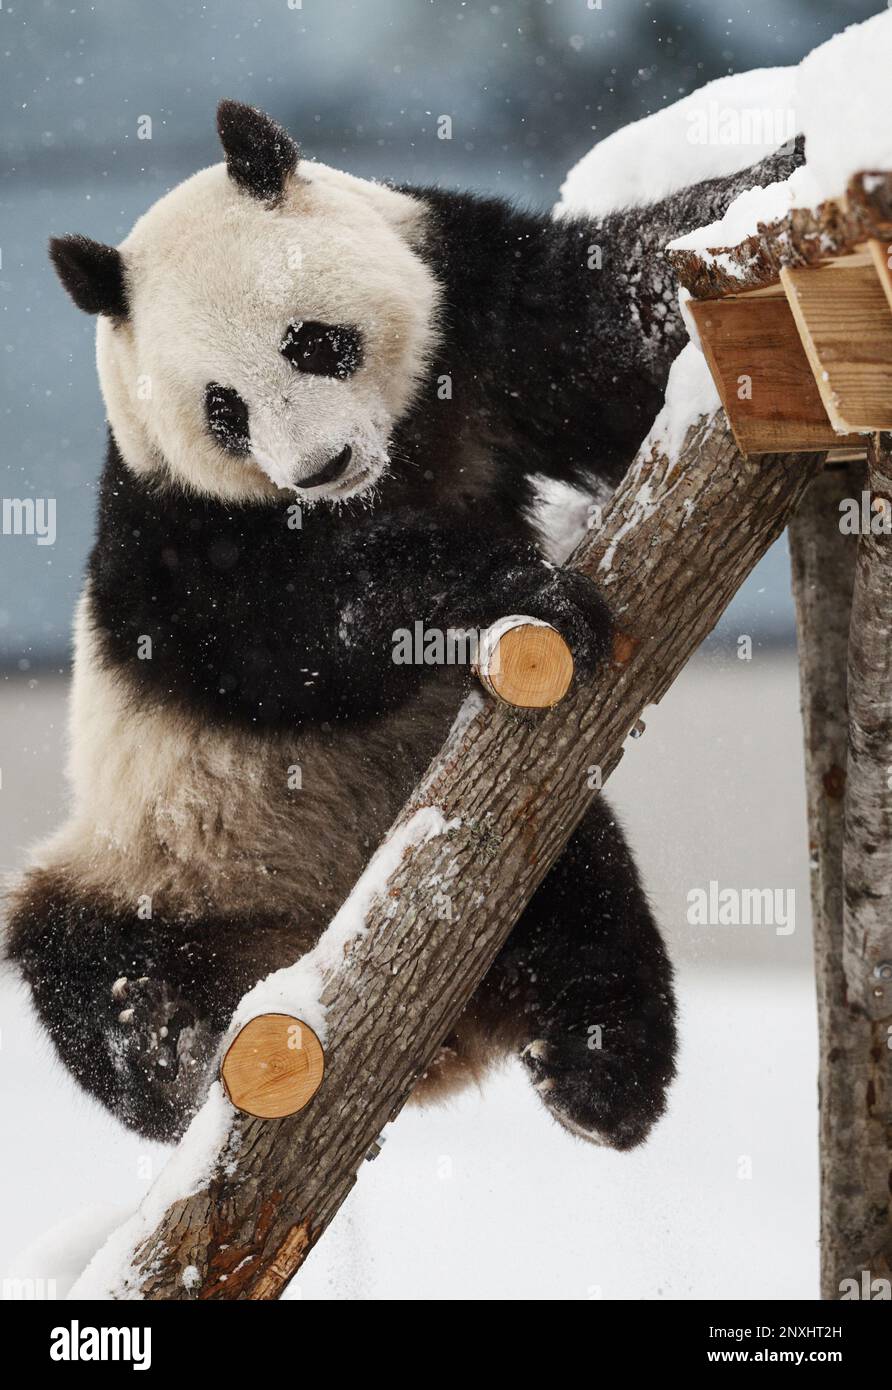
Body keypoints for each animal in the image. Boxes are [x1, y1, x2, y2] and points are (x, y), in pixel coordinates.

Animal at [6, 101, 801, 1150]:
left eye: (311, 342)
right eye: (223, 409)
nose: (319, 466)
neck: (388, 468)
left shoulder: (473, 319)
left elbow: (616, 326)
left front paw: (796, 161)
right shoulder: (170, 524)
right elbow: (278, 641)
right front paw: (504, 586)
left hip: (504, 823)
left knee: (581, 896)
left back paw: (602, 1074)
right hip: (154, 859)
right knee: (79, 958)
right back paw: (172, 1050)